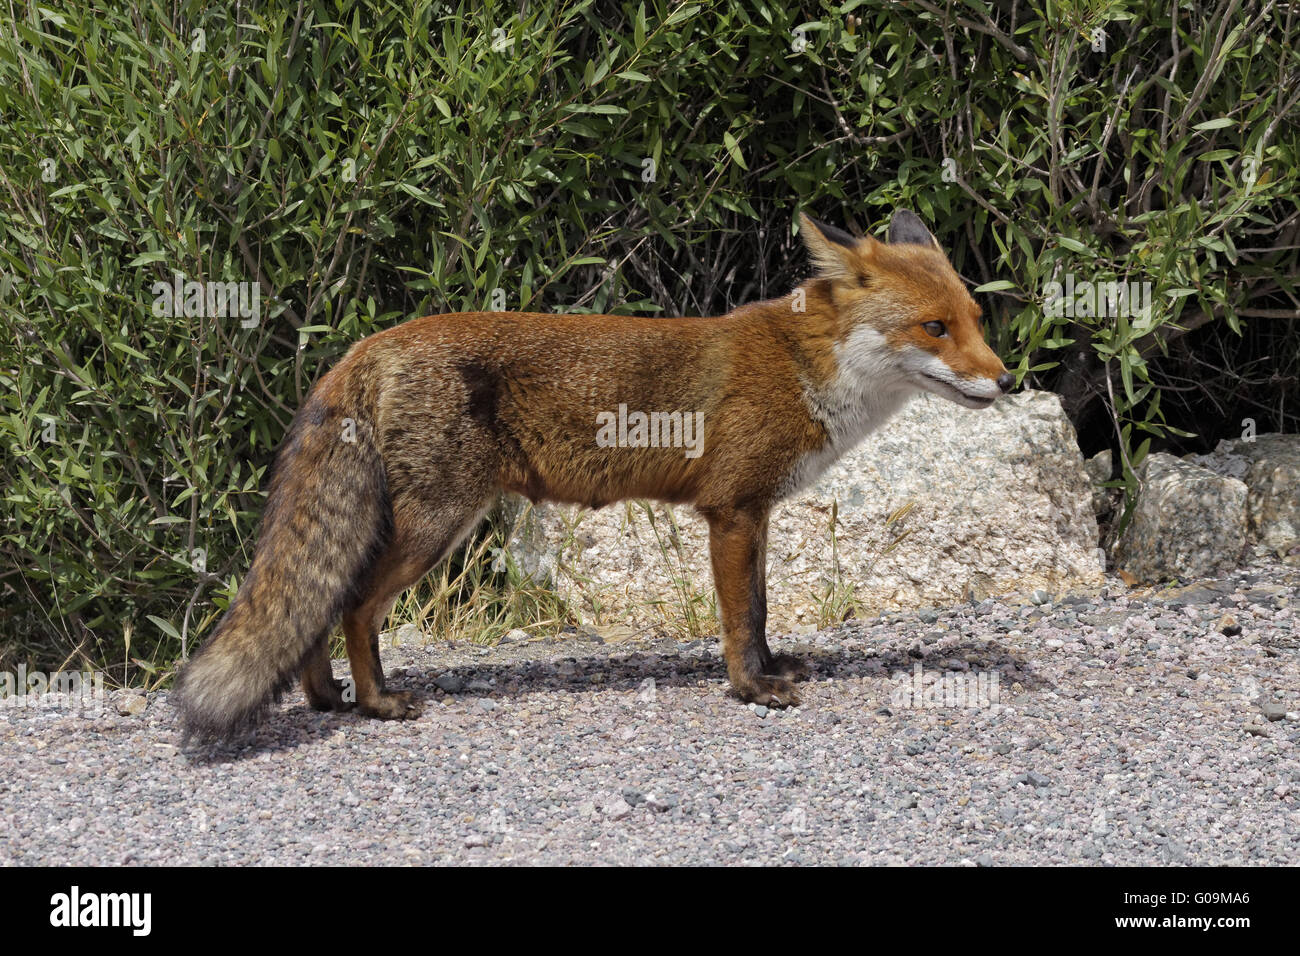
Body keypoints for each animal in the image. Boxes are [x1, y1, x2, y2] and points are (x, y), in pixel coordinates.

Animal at [174, 208, 1013, 742]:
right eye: (934, 327)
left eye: (976, 319)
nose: (1007, 381)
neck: (808, 368)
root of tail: (367, 344)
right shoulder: (732, 510)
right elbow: (740, 620)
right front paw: (752, 690)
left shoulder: (757, 513)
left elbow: (763, 611)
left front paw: (773, 668)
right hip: (437, 526)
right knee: (351, 607)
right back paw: (378, 703)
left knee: (316, 611)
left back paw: (324, 699)